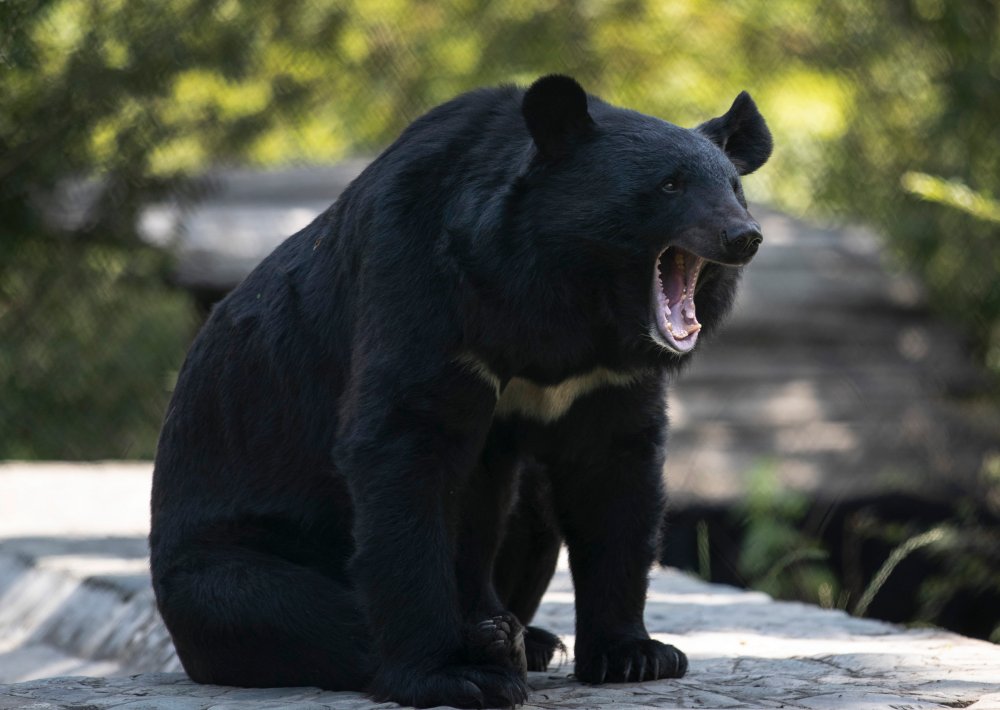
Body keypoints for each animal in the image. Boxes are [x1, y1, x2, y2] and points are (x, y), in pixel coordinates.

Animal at [150, 74, 772, 709]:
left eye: (734, 189)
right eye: (669, 185)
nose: (743, 236)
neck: (568, 298)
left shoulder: (605, 379)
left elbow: (614, 478)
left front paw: (637, 654)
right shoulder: (423, 289)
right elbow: (403, 450)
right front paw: (449, 674)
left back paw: (526, 637)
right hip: (218, 558)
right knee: (282, 610)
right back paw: (491, 644)